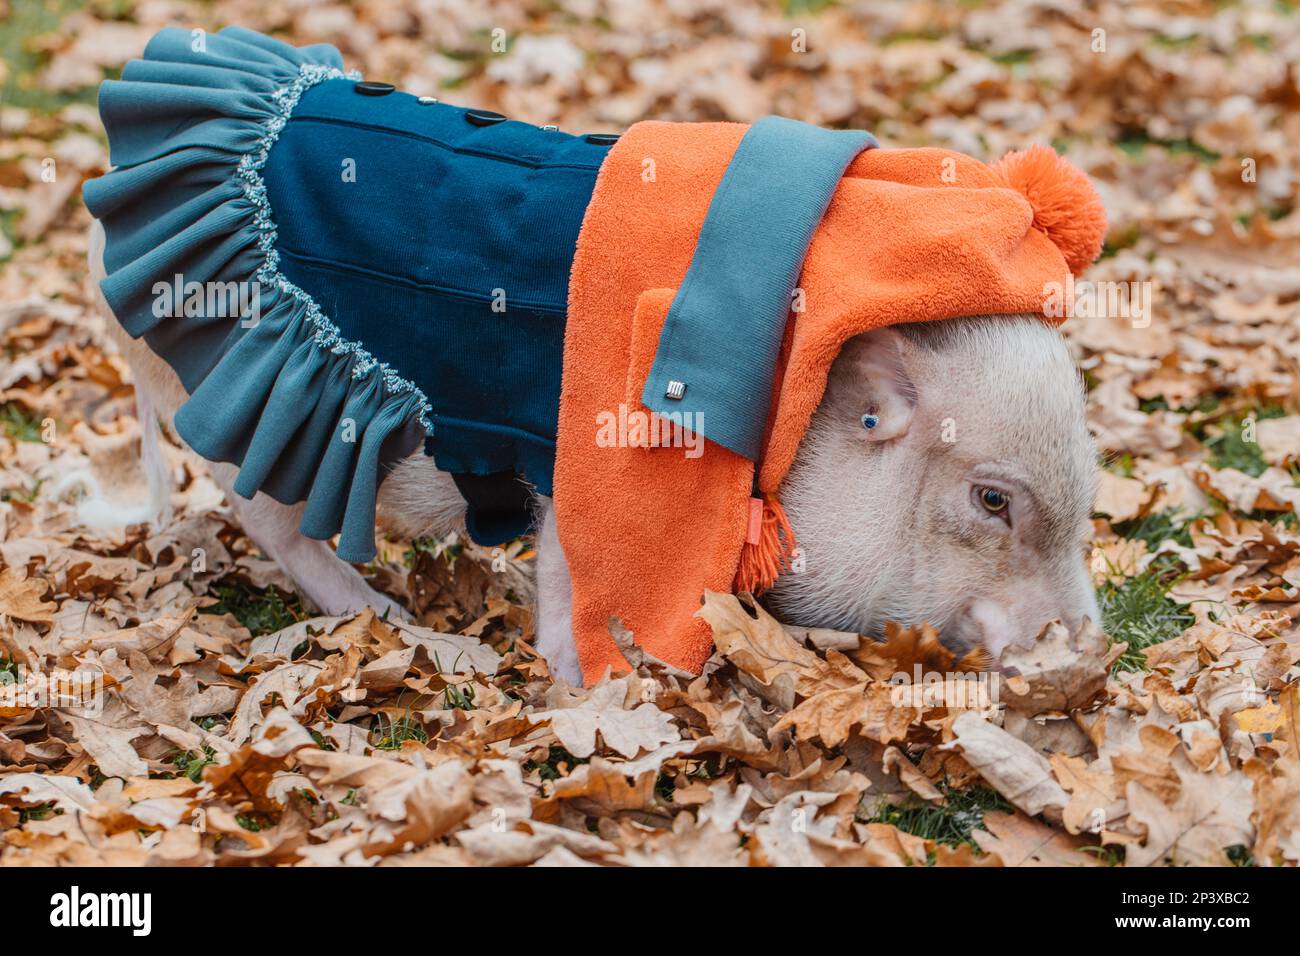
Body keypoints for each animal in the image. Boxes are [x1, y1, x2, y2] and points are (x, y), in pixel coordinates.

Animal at [87, 221, 1098, 687]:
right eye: (994, 501)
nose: (1089, 645)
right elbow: (571, 571)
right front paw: (585, 685)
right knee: (266, 519)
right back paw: (392, 616)